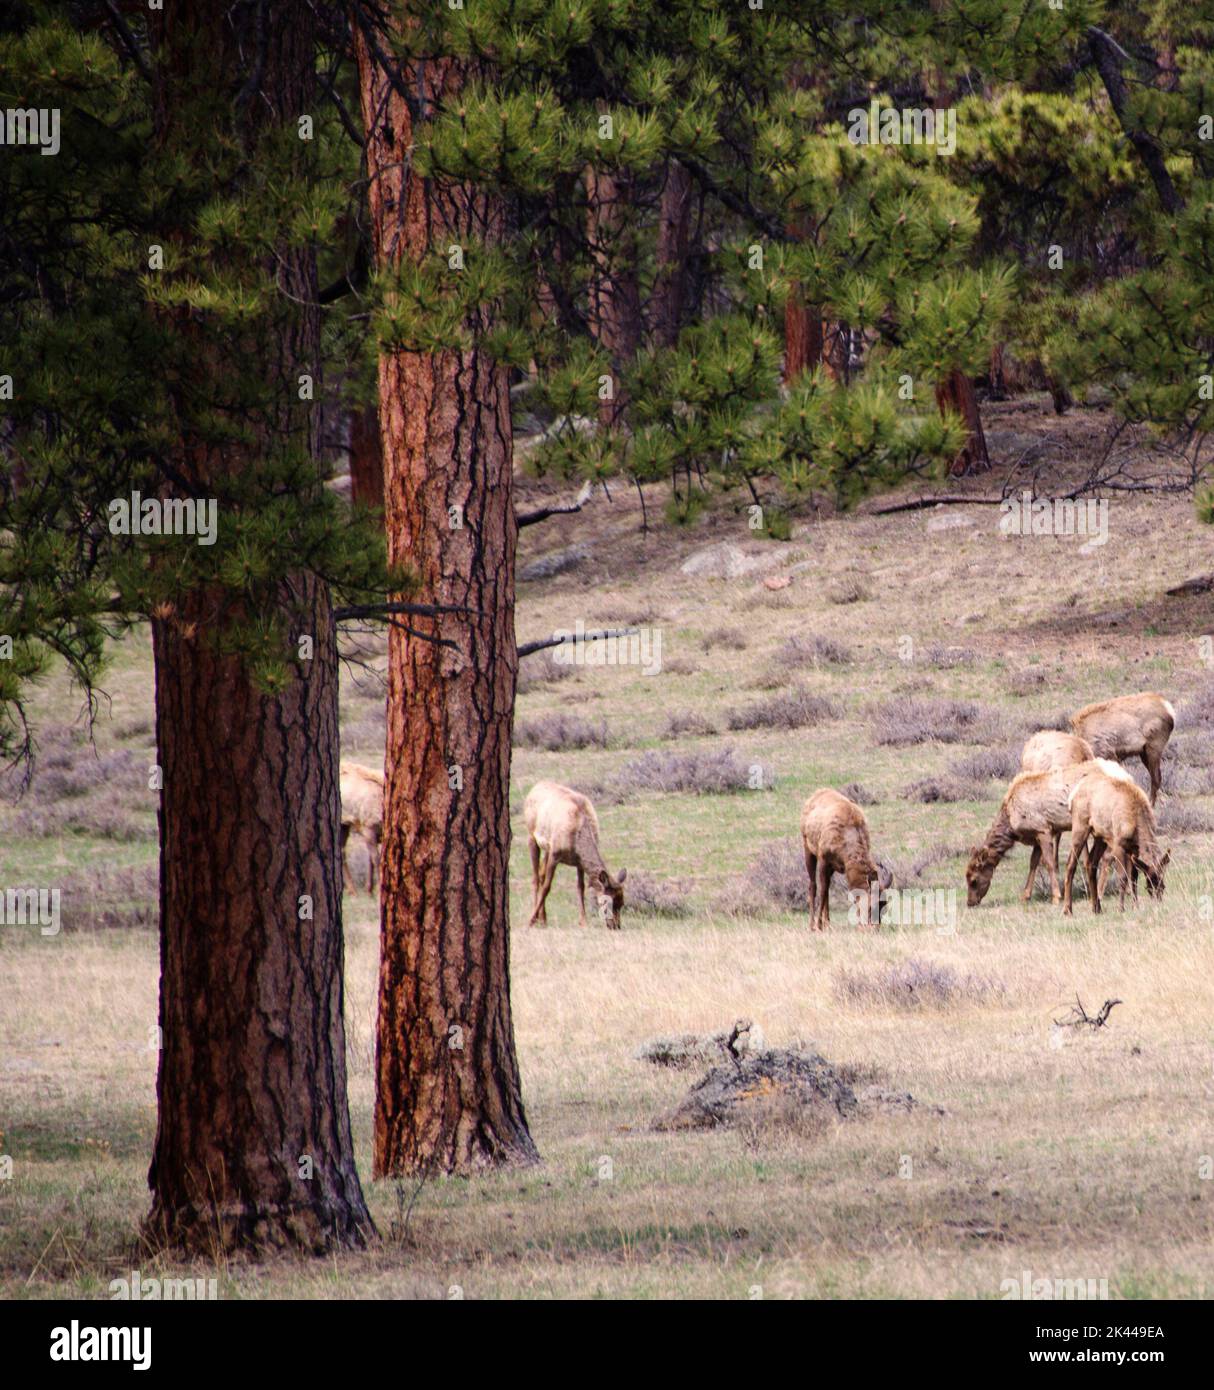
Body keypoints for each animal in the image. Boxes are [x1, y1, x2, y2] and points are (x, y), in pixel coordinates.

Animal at [339, 760, 384, 895]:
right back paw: (352, 889)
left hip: (345, 825)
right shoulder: (368, 826)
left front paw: (369, 888)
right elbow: (376, 859)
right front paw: (378, 889)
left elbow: (370, 860)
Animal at [523, 781, 627, 929]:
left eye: (622, 902)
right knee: (535, 878)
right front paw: (530, 921)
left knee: (541, 873)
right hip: (531, 835)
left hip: (547, 847)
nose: (616, 926)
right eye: (607, 902)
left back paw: (543, 919)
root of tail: (535, 787)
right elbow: (547, 888)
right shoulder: (555, 854)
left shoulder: (578, 862)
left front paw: (583, 921)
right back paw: (536, 918)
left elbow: (580, 887)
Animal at [800, 787, 891, 930]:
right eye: (871, 906)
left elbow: (827, 890)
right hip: (808, 851)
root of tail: (816, 794)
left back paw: (827, 923)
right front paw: (819, 926)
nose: (873, 929)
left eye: (884, 906)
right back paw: (812, 926)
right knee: (813, 886)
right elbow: (822, 891)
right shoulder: (823, 861)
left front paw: (825, 924)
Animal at [966, 759, 1133, 908]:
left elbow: (1049, 863)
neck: (1011, 824)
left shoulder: (1043, 829)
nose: (970, 903)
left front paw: (1056, 896)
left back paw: (1101, 892)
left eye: (973, 880)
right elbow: (1033, 863)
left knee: (1109, 857)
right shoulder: (1036, 835)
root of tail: (1127, 776)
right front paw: (1025, 896)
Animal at [1062, 763, 1170, 915]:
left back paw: (1096, 907)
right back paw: (1068, 909)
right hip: (1080, 826)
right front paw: (1121, 908)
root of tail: (1072, 795)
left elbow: (1134, 877)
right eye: (1149, 885)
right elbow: (1123, 877)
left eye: (1162, 885)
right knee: (1071, 864)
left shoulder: (1134, 849)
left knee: (1091, 863)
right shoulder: (1118, 845)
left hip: (1100, 835)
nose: (1158, 902)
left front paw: (1135, 906)